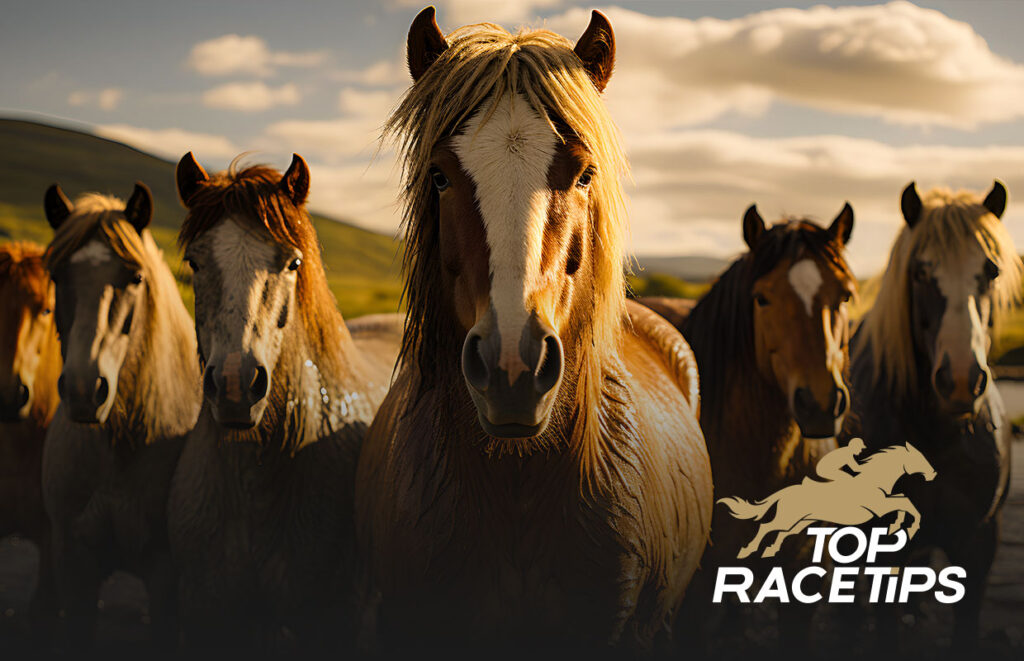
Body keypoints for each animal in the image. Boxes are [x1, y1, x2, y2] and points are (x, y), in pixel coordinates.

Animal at [719, 443, 936, 559]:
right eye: (919, 458)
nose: (934, 474)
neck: (874, 480)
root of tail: (785, 491)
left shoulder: (884, 503)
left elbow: (903, 501)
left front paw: (896, 526)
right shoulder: (879, 507)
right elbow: (905, 502)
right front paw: (909, 528)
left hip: (801, 523)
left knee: (783, 533)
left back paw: (770, 551)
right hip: (787, 518)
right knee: (767, 526)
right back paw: (748, 550)